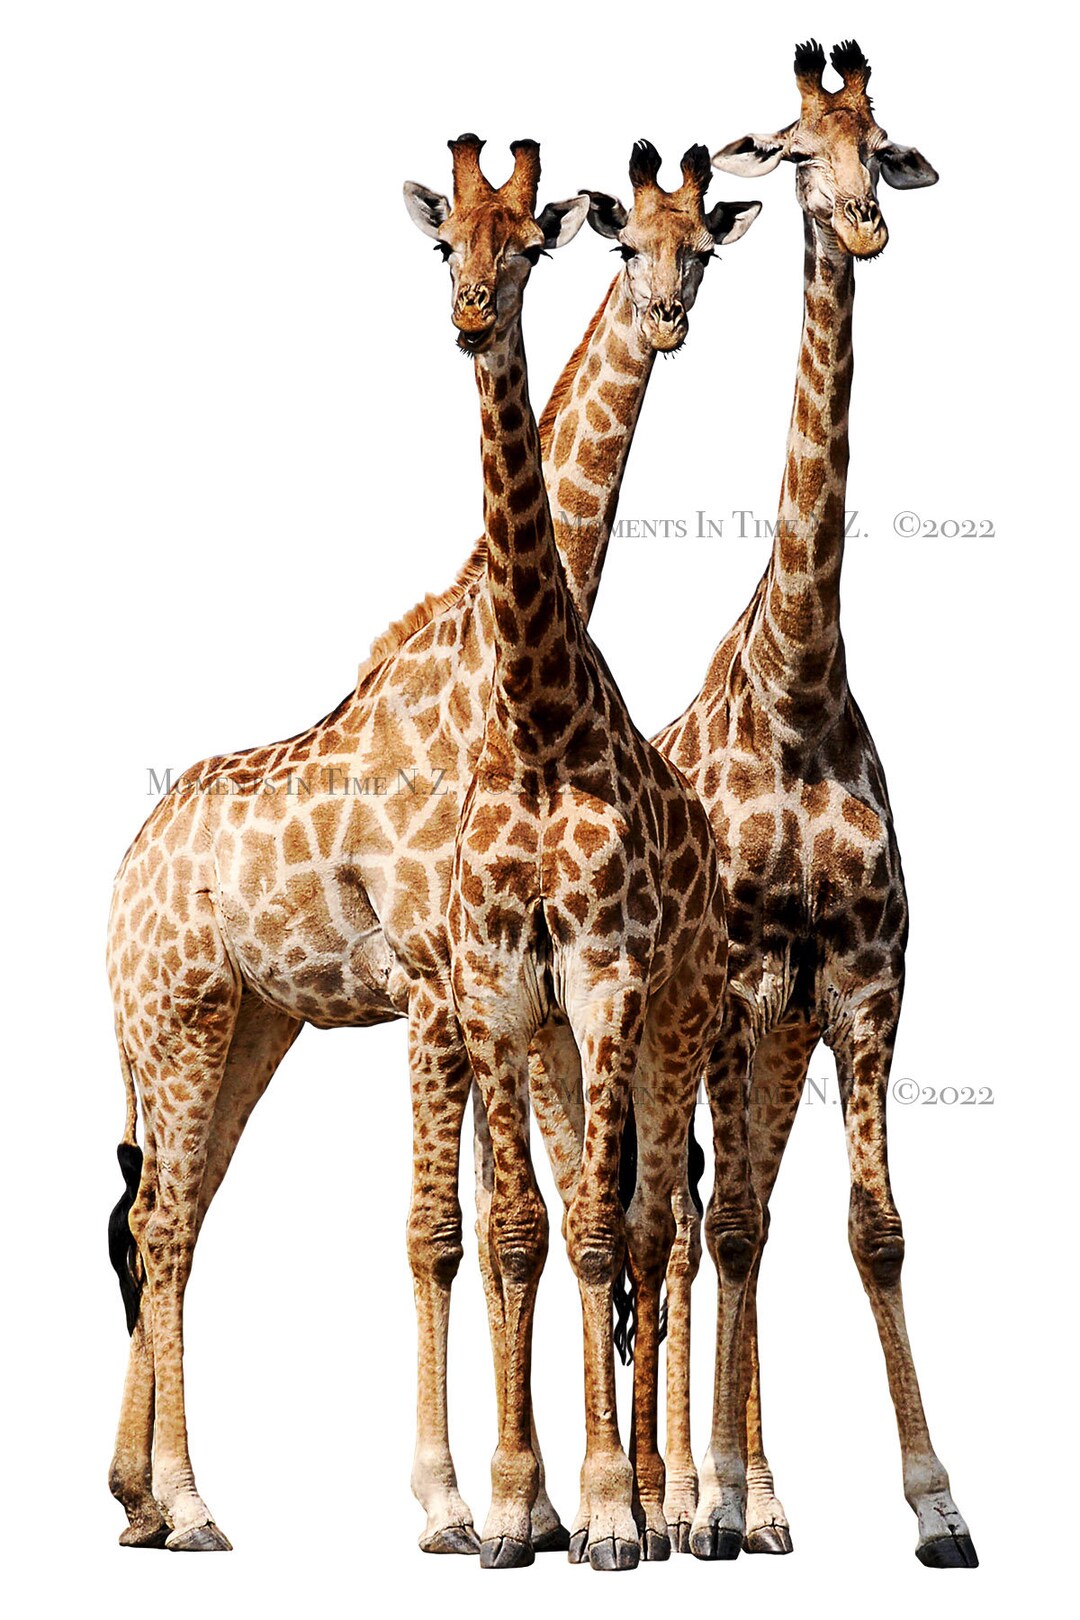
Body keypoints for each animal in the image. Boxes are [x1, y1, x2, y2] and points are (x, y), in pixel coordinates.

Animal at [105, 133, 757, 1553]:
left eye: (703, 248)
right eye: (448, 241)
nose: (667, 320)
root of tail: (117, 873)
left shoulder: (514, 988)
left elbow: (551, 1209)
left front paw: (562, 1502)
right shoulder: (436, 979)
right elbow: (441, 1231)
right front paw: (464, 1503)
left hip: (247, 1025)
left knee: (173, 1211)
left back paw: (134, 1497)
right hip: (178, 1019)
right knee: (165, 1221)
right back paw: (188, 1502)